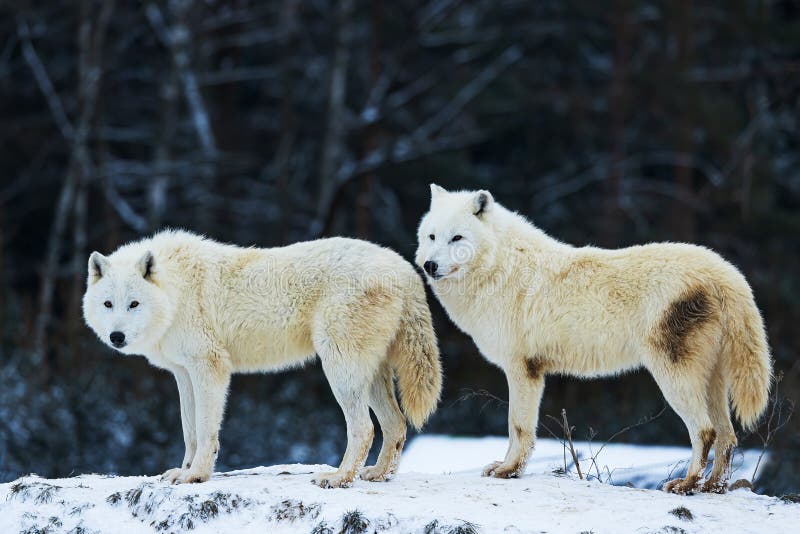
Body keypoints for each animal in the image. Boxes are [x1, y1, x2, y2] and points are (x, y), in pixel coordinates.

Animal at [83, 230, 441, 488]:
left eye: (134, 304)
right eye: (108, 304)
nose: (117, 337)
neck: (175, 291)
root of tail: (404, 269)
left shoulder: (210, 367)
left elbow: (205, 430)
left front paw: (196, 475)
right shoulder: (183, 374)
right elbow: (190, 431)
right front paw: (181, 471)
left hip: (340, 371)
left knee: (364, 428)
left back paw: (338, 478)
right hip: (371, 376)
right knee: (396, 425)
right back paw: (377, 474)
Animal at [416, 184, 772, 494]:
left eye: (457, 237)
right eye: (432, 236)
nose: (430, 265)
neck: (500, 268)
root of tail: (727, 274)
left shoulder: (522, 369)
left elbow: (518, 427)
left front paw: (509, 471)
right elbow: (516, 429)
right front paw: (504, 467)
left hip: (673, 378)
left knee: (705, 431)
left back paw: (685, 485)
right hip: (711, 382)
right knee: (728, 437)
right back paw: (712, 487)